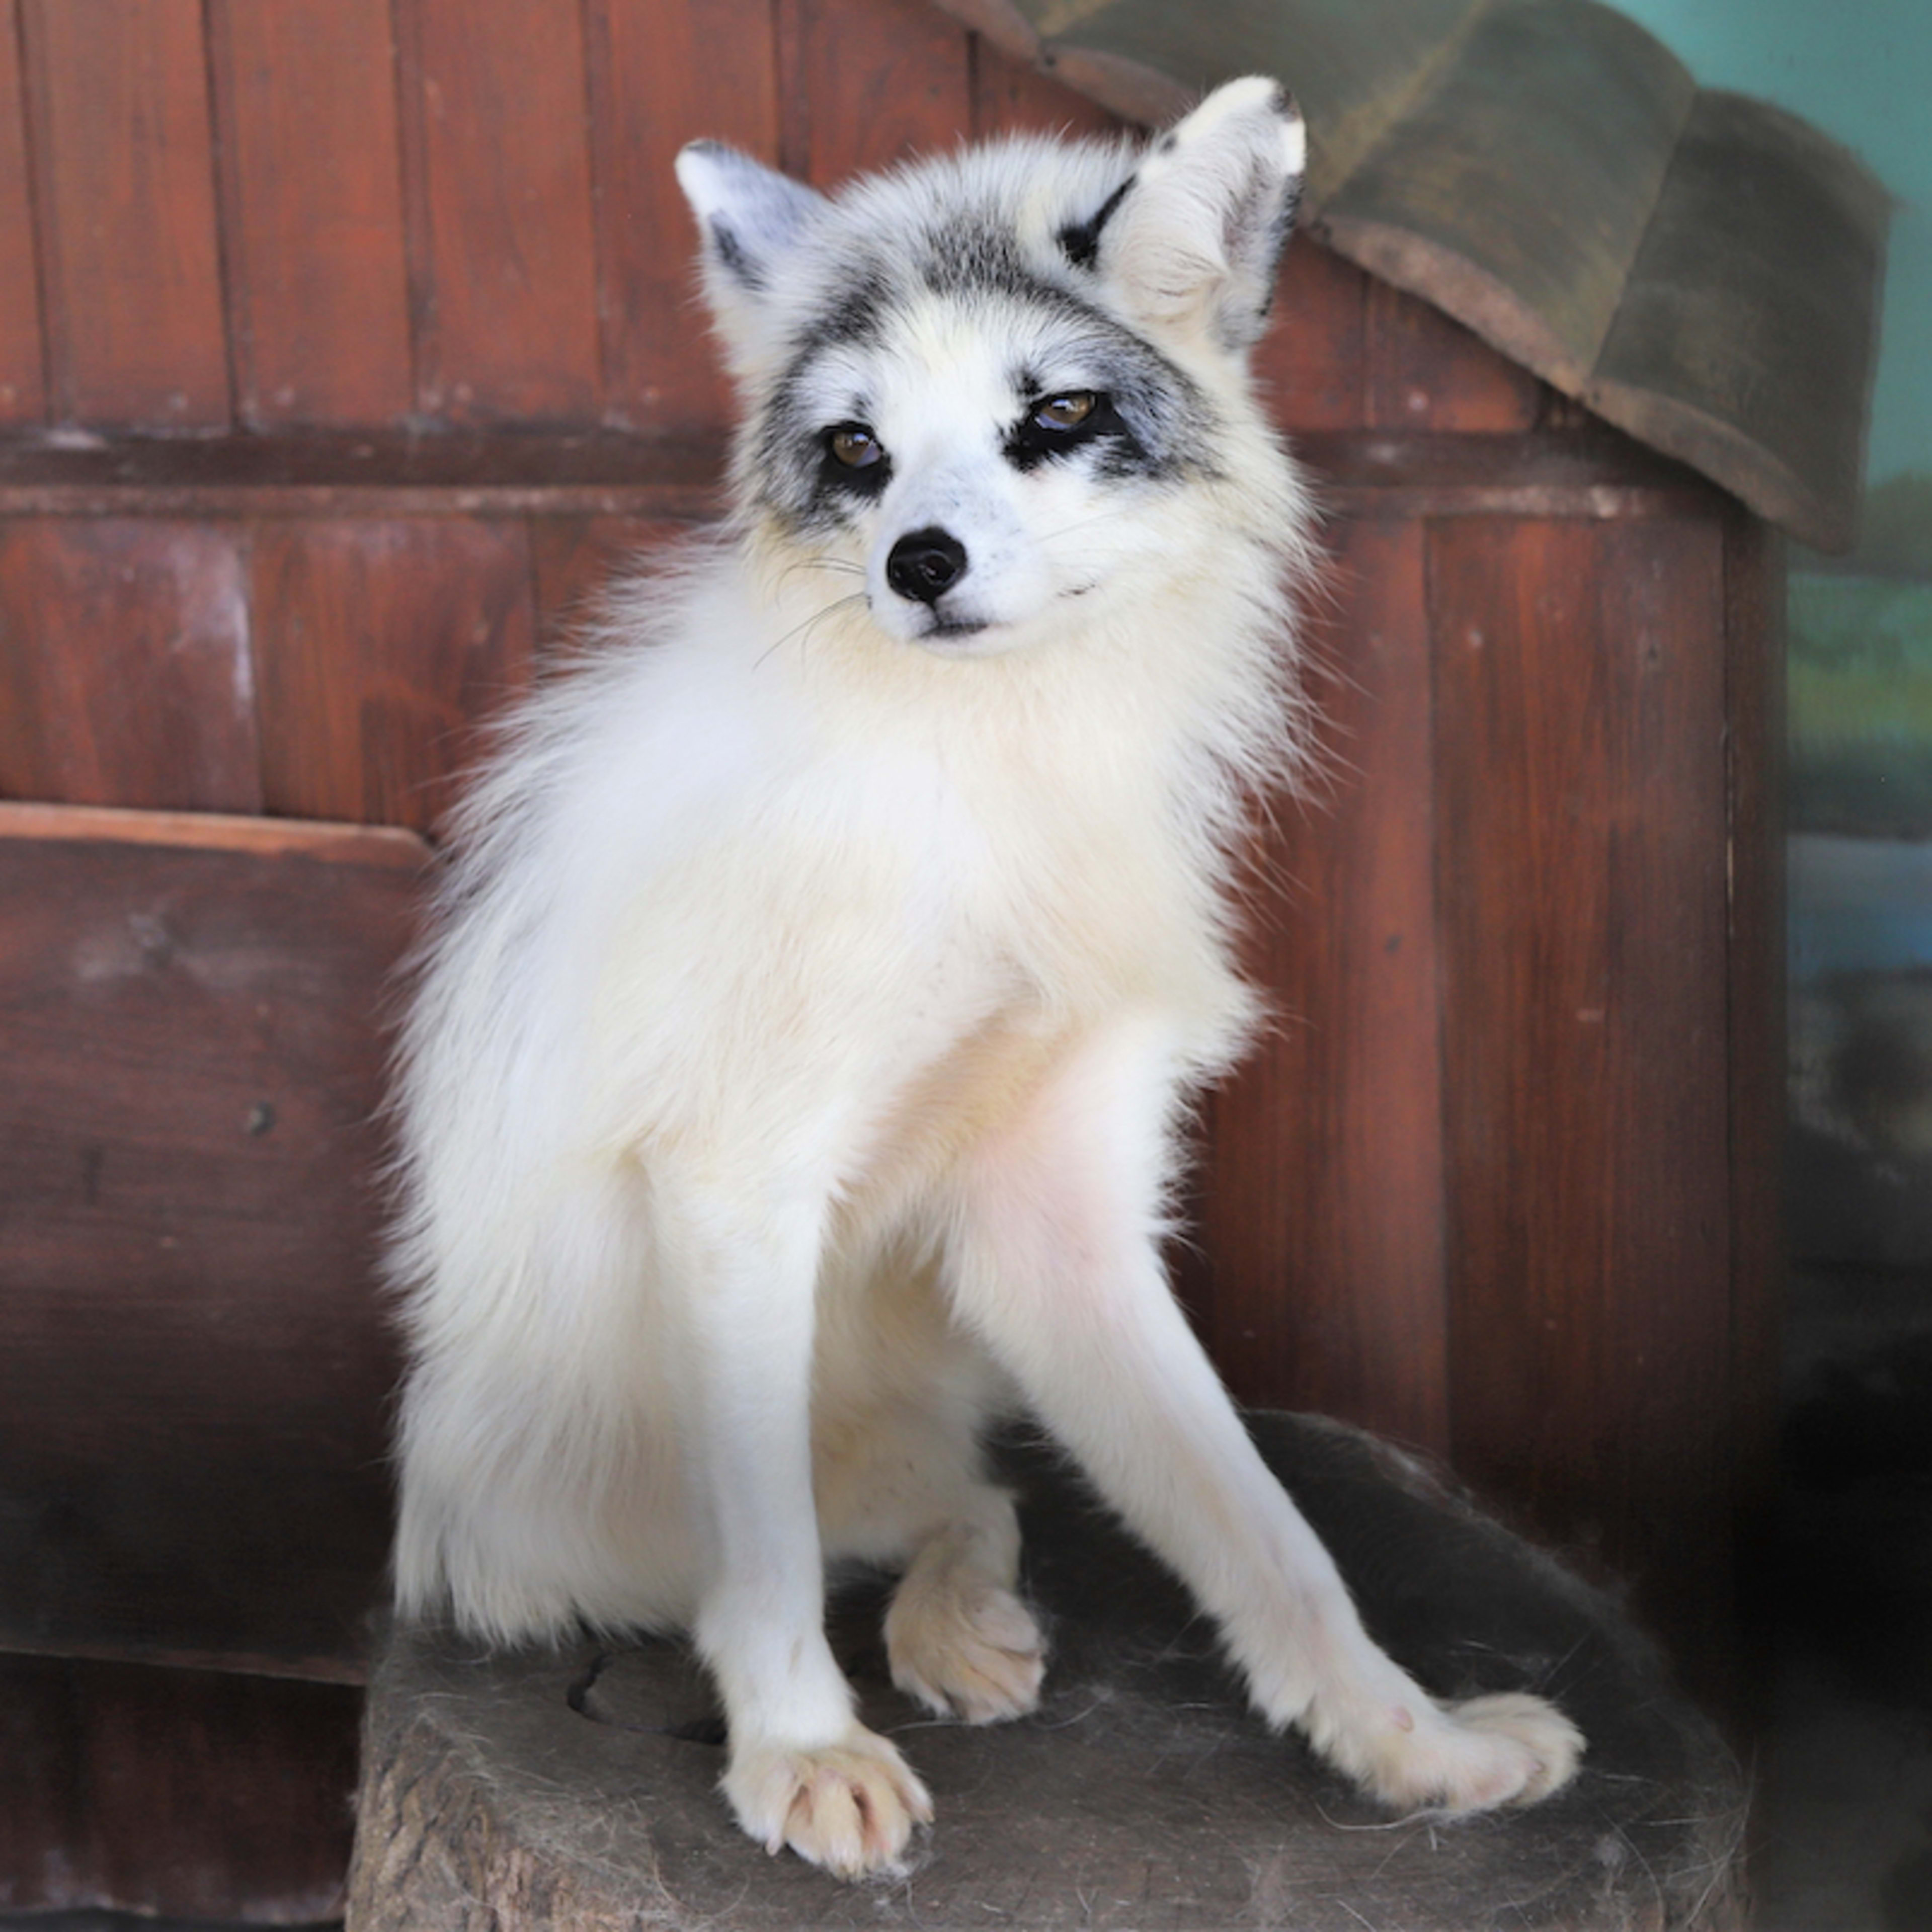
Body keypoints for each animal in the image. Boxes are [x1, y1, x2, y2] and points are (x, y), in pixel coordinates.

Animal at [386, 77, 1583, 1878]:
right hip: (556, 1524)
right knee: (798, 1540)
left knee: (971, 1496)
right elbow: (768, 1561)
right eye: (857, 449)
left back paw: (963, 1625)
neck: (981, 786)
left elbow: (1270, 1534)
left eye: (1058, 414)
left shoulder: (1061, 1213)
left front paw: (1408, 1745)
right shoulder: (739, 1176)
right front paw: (801, 1749)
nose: (921, 564)